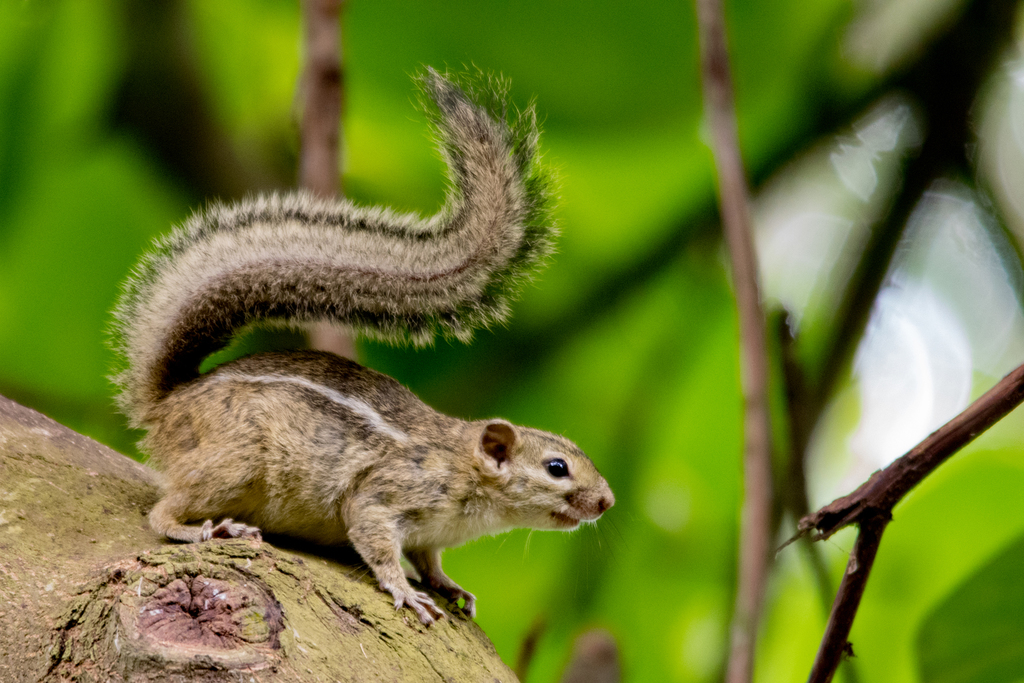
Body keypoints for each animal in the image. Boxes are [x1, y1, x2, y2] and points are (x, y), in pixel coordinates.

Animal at [110, 69, 614, 626]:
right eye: (556, 467)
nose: (607, 502)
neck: (462, 468)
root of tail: (170, 400)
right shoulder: (387, 493)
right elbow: (374, 537)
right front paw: (404, 590)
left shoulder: (431, 535)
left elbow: (429, 558)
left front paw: (447, 584)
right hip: (230, 464)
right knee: (161, 511)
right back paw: (205, 528)